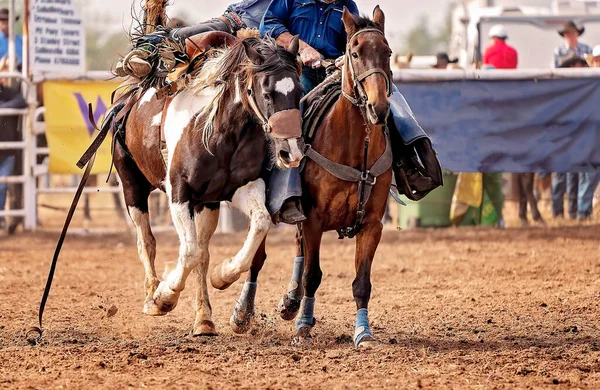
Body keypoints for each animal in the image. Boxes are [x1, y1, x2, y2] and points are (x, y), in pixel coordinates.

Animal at [113, 31, 304, 336]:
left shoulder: (243, 187)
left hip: (207, 203)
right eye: (266, 93)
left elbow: (259, 223)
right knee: (147, 241)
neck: (220, 130)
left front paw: (223, 275)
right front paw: (164, 298)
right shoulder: (179, 194)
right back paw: (152, 294)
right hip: (132, 186)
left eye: (298, 91)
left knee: (202, 253)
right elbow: (188, 251)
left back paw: (204, 320)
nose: (292, 152)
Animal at [220, 7, 394, 348]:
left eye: (388, 52)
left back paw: (291, 300)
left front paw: (363, 332)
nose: (378, 108)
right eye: (355, 53)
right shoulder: (313, 218)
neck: (356, 148)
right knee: (259, 258)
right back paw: (244, 313)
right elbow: (313, 275)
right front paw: (302, 326)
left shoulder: (372, 224)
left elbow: (361, 282)